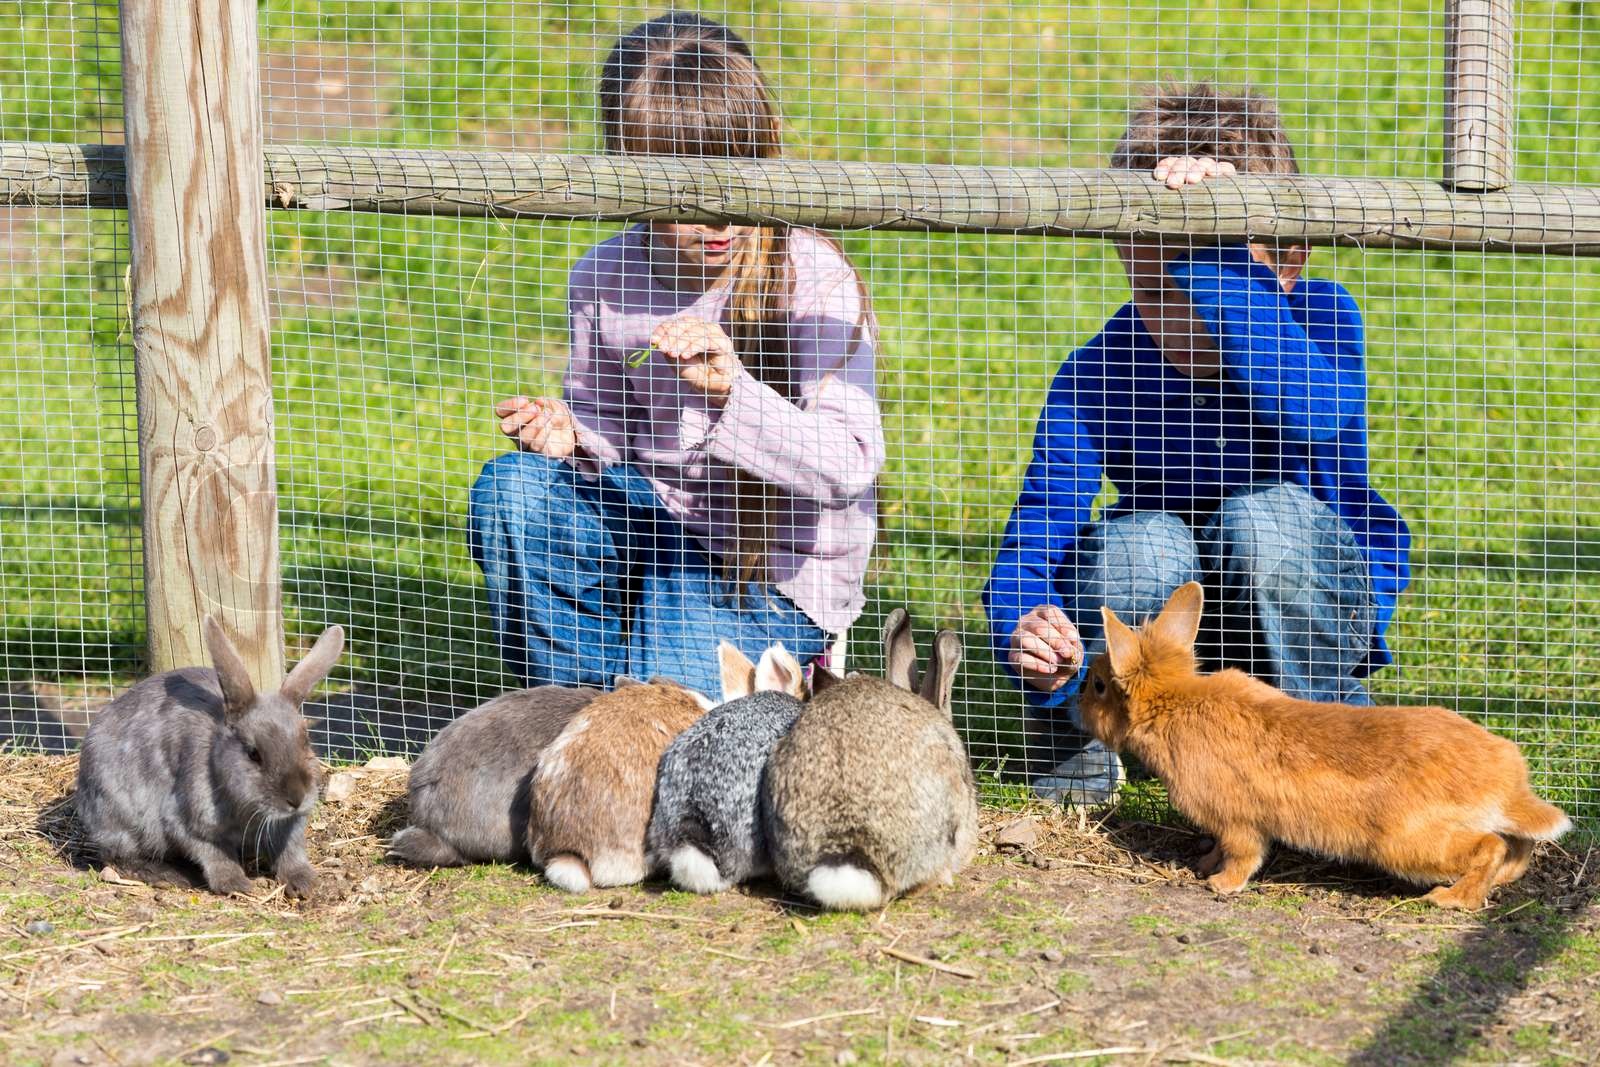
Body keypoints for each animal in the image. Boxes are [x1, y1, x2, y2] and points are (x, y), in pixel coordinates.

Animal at [75, 617, 344, 898]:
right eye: (254, 754)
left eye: (306, 741)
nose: (297, 798)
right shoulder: (190, 823)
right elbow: (216, 856)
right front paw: (237, 885)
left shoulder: (287, 827)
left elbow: (290, 853)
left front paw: (304, 884)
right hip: (121, 821)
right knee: (119, 857)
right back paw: (169, 875)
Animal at [1078, 581, 1571, 910]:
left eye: (1098, 685)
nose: (1079, 704)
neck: (1172, 706)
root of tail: (1506, 784)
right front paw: (1204, 866)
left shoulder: (1239, 822)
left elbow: (1244, 854)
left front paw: (1220, 884)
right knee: (1516, 848)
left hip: (1406, 844)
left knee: (1490, 848)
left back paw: (1449, 898)